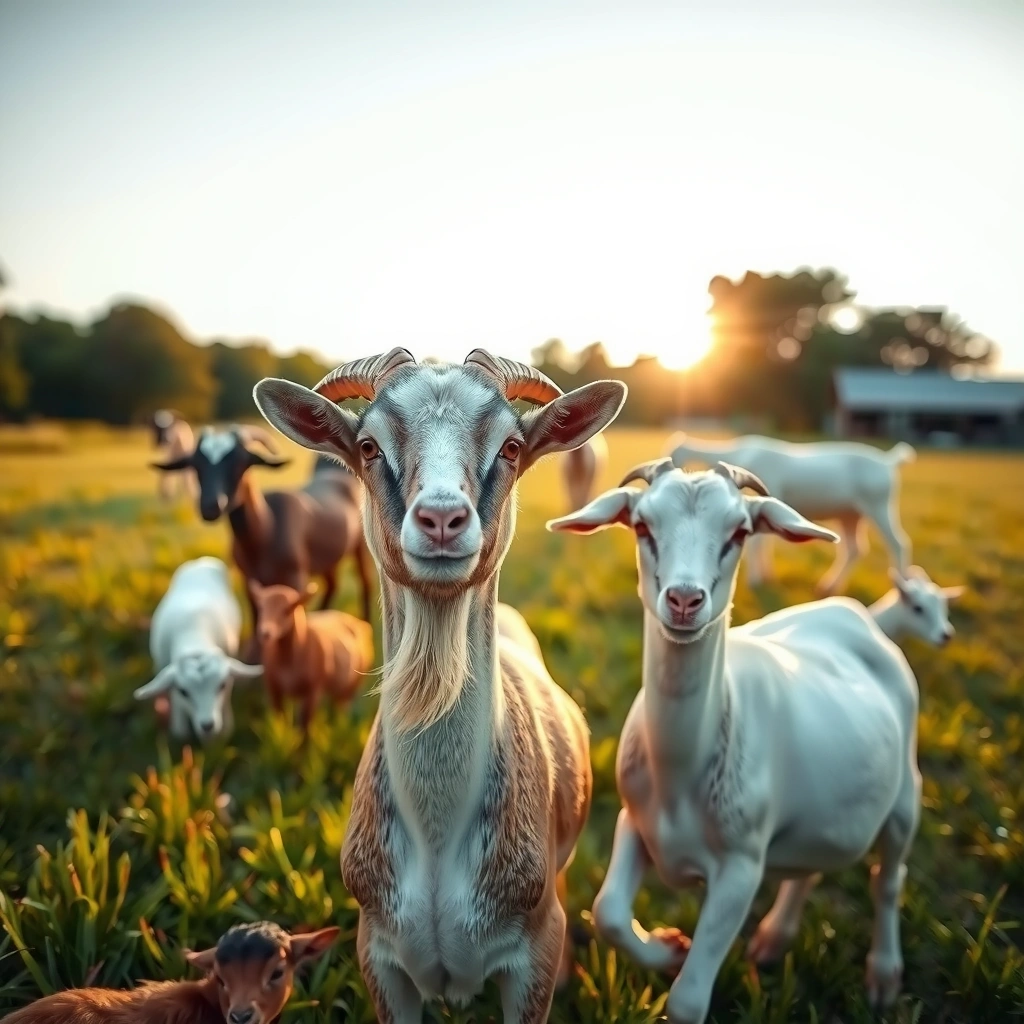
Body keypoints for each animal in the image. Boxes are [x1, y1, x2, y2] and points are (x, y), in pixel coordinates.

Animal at [133, 557, 262, 741]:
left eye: (222, 685)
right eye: (184, 691)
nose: (207, 726)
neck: (193, 634)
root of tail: (200, 560)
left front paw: (225, 730)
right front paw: (180, 728)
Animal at [151, 424, 373, 640]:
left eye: (242, 462)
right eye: (196, 464)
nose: (211, 506)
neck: (267, 530)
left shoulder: (296, 580)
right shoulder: (250, 583)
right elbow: (257, 617)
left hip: (360, 548)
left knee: (364, 582)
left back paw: (366, 625)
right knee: (332, 585)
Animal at [248, 579, 374, 733]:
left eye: (288, 610)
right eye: (261, 608)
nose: (266, 633)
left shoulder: (313, 690)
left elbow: (305, 728)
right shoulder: (273, 688)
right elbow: (280, 721)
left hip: (352, 685)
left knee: (342, 710)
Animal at [549, 455, 921, 1023]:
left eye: (740, 532)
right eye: (642, 526)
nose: (684, 600)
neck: (680, 776)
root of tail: (855, 615)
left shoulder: (742, 868)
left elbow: (687, 1001)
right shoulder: (634, 819)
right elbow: (607, 911)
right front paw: (667, 948)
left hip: (905, 800)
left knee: (887, 881)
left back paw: (882, 976)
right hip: (826, 814)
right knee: (812, 868)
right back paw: (773, 940)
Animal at [666, 432, 916, 594]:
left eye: (671, 453)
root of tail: (889, 461)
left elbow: (757, 543)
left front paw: (755, 581)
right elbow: (765, 541)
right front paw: (766, 576)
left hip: (879, 504)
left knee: (898, 543)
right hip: (850, 514)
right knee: (854, 549)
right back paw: (828, 586)